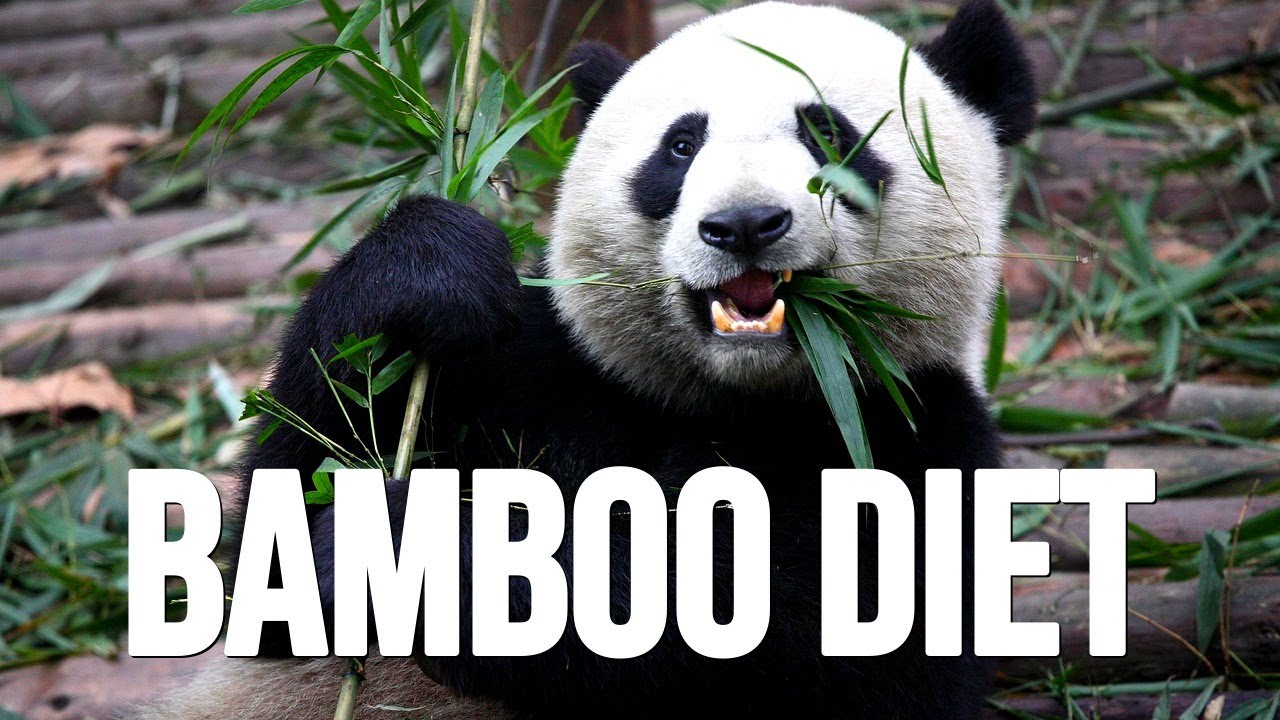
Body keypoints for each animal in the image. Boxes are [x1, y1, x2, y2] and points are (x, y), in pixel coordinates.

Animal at [138, 1, 1034, 717]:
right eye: (681, 146)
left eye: (826, 134)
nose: (744, 223)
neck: (726, 395)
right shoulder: (545, 365)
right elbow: (279, 552)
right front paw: (425, 271)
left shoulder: (914, 438)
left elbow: (808, 646)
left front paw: (406, 548)